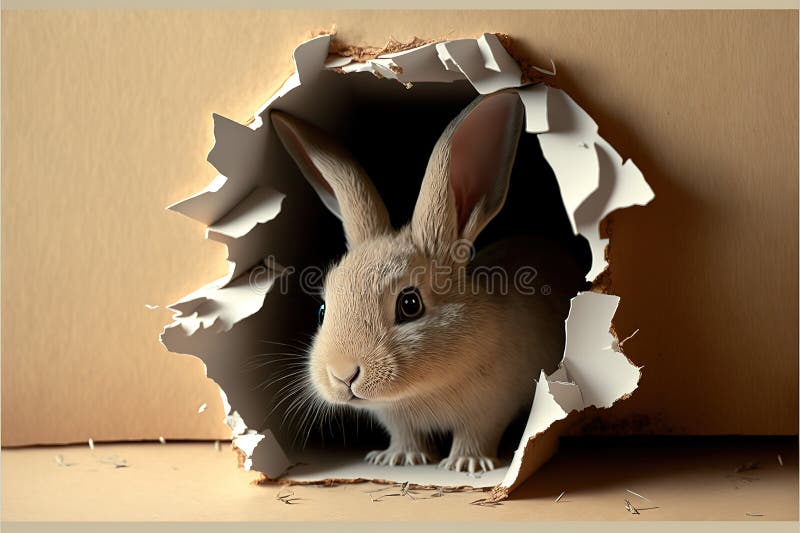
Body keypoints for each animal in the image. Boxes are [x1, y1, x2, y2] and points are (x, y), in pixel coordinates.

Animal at [269, 91, 585, 473]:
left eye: (410, 304)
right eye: (321, 310)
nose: (343, 374)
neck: (421, 390)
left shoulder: (489, 410)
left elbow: (475, 434)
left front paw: (465, 464)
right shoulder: (398, 420)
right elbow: (406, 435)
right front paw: (398, 458)